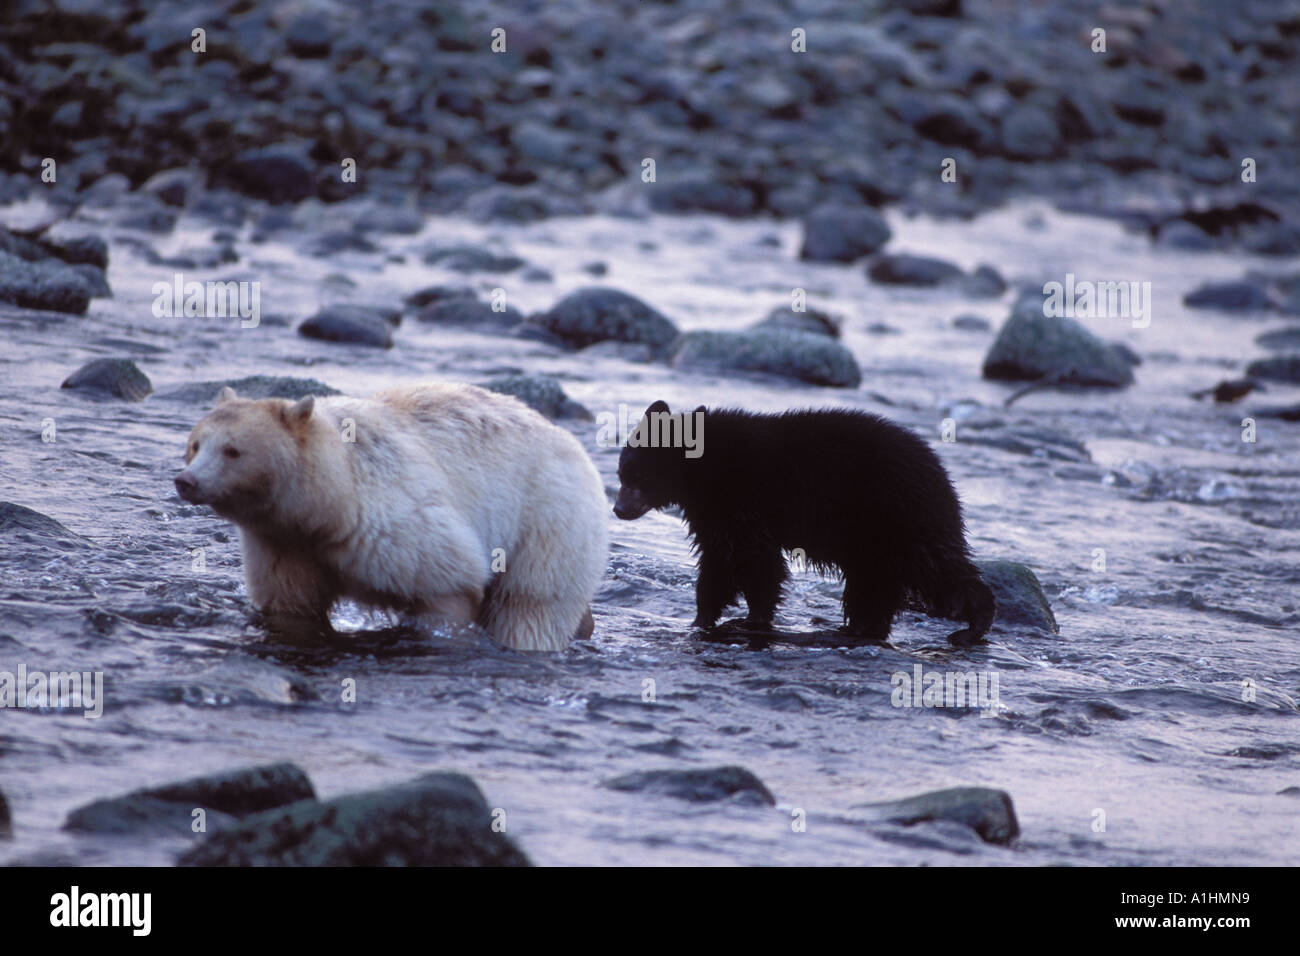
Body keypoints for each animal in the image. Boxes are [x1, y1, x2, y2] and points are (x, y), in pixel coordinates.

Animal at [174, 382, 608, 651]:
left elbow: (449, 580)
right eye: (195, 444)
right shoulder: (282, 542)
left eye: (233, 450)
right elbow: (291, 603)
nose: (186, 481)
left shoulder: (393, 522)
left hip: (548, 520)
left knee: (531, 607)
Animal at [613, 401, 994, 646]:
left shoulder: (742, 501)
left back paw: (974, 624)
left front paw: (749, 619)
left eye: (638, 475)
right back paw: (859, 628)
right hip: (872, 542)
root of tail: (943, 476)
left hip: (901, 517)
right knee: (873, 585)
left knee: (937, 568)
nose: (617, 509)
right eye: (622, 473)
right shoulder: (714, 513)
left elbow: (755, 562)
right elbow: (719, 563)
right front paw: (703, 618)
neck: (704, 470)